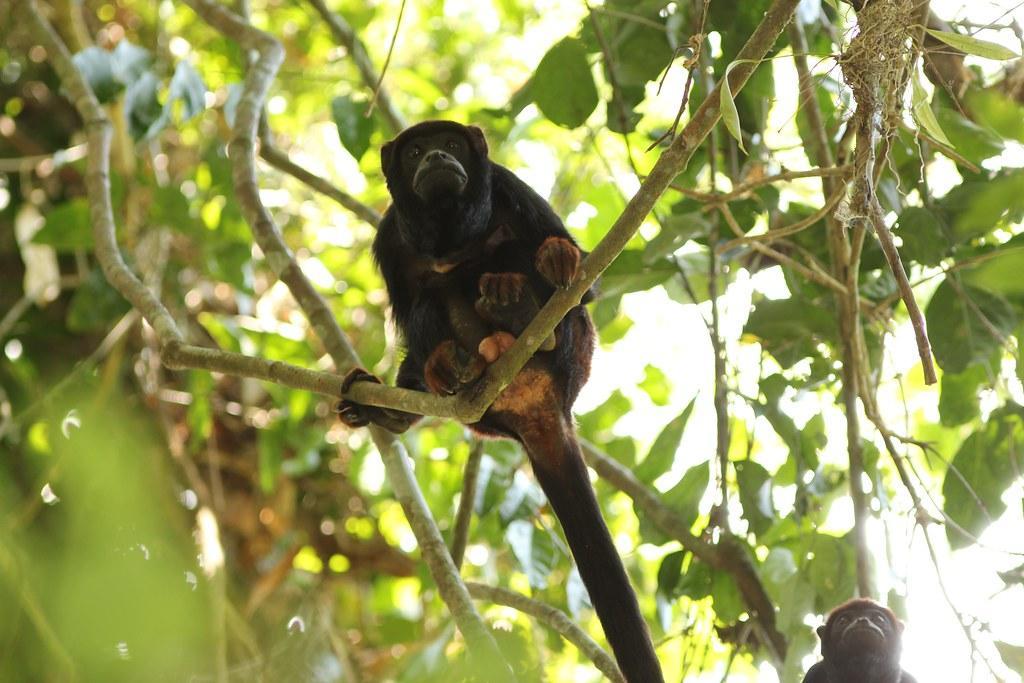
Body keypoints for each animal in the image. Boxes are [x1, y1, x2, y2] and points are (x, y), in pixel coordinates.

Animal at [337, 120, 664, 683]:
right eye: (416, 151)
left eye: (450, 143)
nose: (438, 157)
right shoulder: (389, 238)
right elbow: (406, 312)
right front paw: (403, 390)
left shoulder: (512, 187)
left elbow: (588, 287)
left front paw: (558, 260)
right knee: (428, 302)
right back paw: (436, 377)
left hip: (578, 357)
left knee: (521, 274)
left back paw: (523, 309)